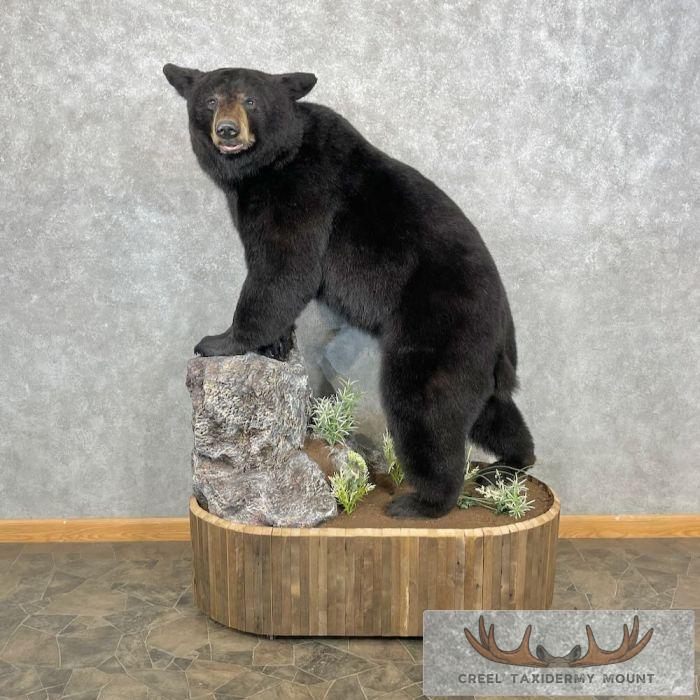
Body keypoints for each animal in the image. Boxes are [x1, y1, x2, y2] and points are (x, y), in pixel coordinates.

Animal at [163, 64, 536, 518]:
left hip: (442, 322)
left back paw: (423, 501)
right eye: (210, 100)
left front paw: (219, 340)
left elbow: (285, 268)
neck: (267, 166)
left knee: (426, 405)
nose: (228, 130)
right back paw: (510, 464)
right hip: (481, 356)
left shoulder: (302, 192)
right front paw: (276, 344)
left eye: (250, 100)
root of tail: (501, 320)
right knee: (490, 409)